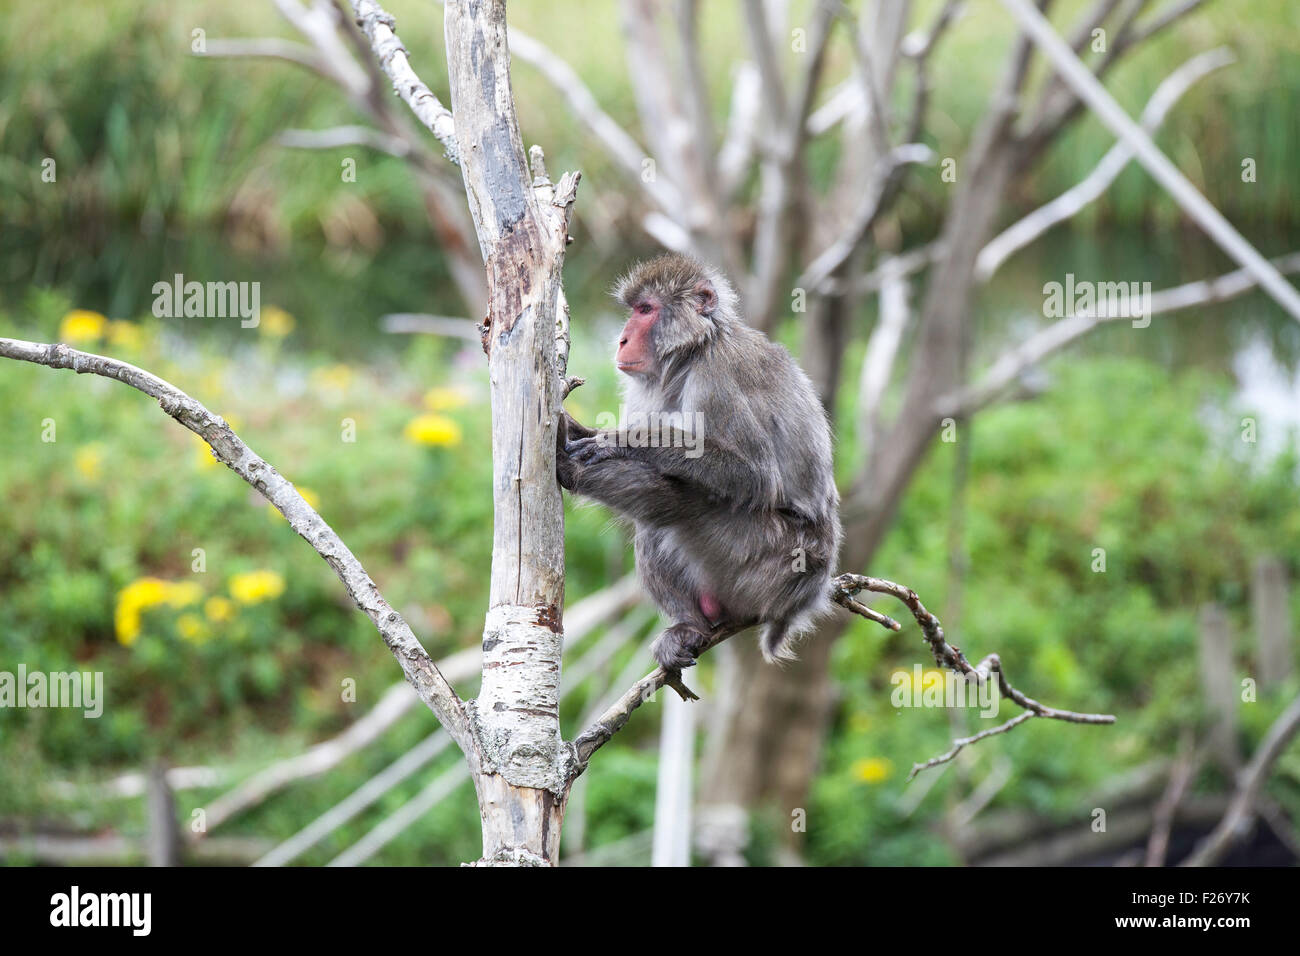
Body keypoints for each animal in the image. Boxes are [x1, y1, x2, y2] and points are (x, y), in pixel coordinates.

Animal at [557, 253, 842, 673]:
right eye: (634, 309)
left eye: (645, 309)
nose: (622, 339)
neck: (696, 351)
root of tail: (806, 596)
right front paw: (576, 429)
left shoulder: (718, 376)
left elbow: (754, 476)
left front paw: (617, 442)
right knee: (655, 522)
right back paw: (691, 625)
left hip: (771, 559)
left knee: (677, 505)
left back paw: (570, 470)